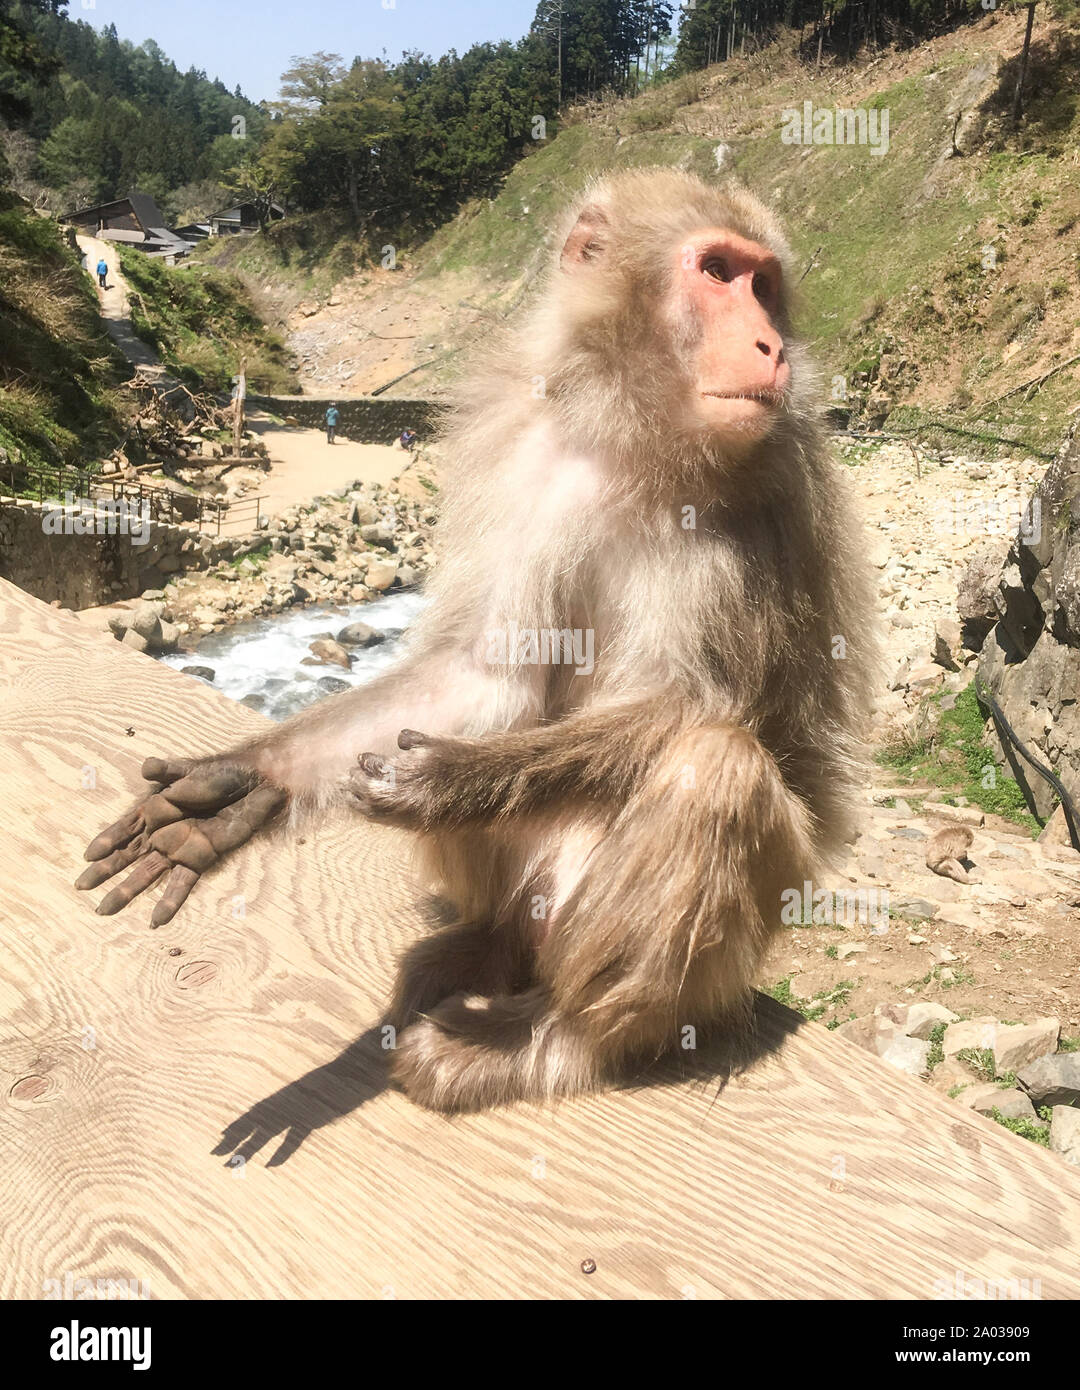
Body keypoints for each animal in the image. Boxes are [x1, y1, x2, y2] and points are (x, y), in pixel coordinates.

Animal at [78, 169, 875, 1113]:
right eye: (717, 271)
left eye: (765, 284)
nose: (769, 344)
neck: (626, 431)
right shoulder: (522, 453)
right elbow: (485, 674)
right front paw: (248, 785)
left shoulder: (749, 494)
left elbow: (690, 706)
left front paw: (445, 782)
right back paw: (482, 950)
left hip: (727, 934)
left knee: (712, 768)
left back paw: (550, 1044)